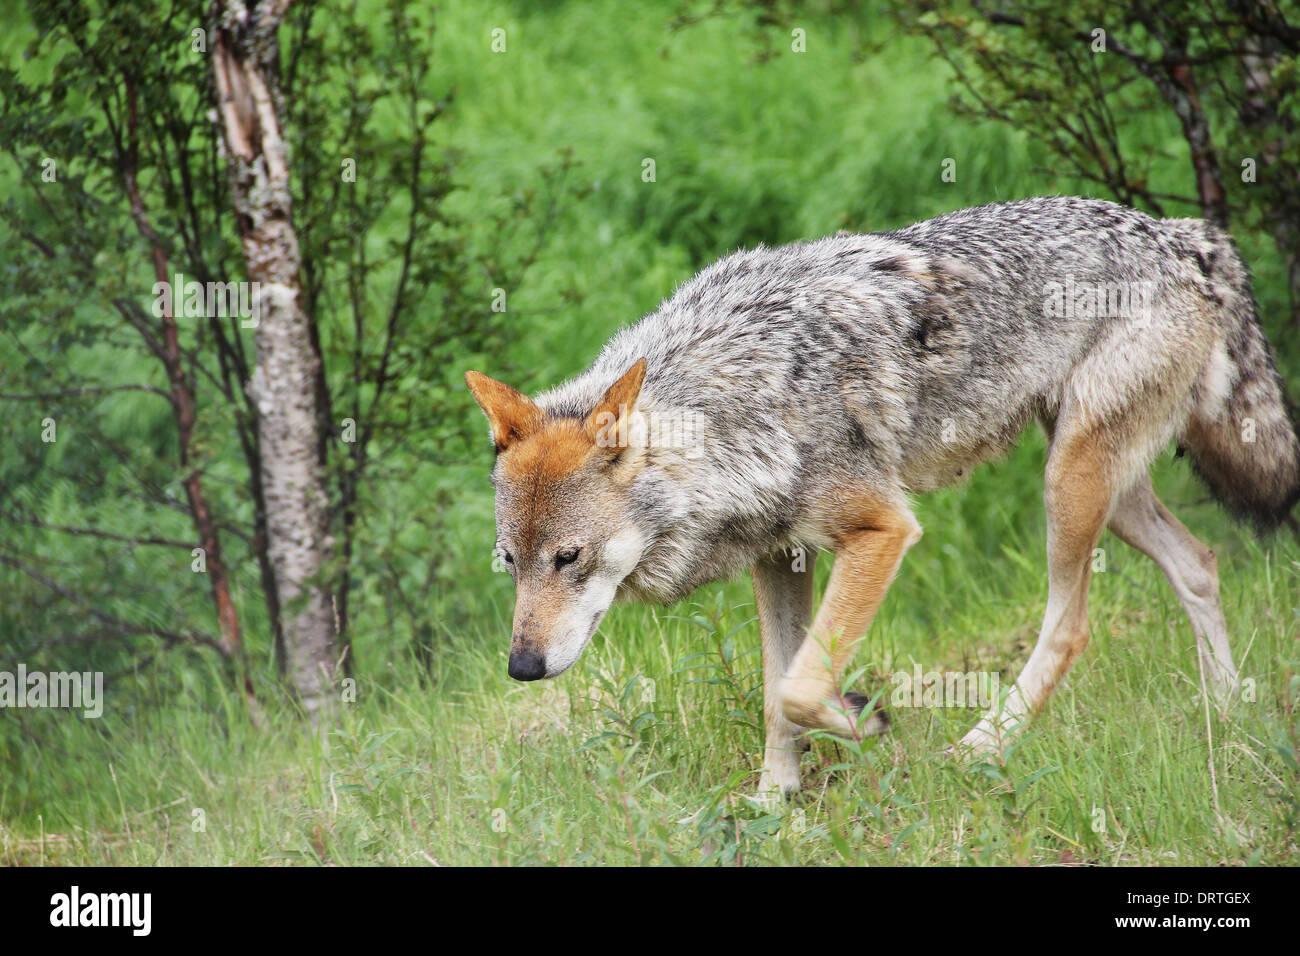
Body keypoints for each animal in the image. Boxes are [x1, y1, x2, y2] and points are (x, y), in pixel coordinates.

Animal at [466, 196, 1300, 796]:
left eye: (569, 558)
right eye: (510, 563)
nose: (521, 668)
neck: (738, 405)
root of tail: (1183, 235)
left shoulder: (882, 533)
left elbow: (798, 688)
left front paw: (865, 723)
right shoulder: (780, 557)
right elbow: (775, 692)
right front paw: (775, 809)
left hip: (1070, 485)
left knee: (1071, 627)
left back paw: (981, 747)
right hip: (1105, 488)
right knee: (1200, 562)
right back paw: (1226, 713)